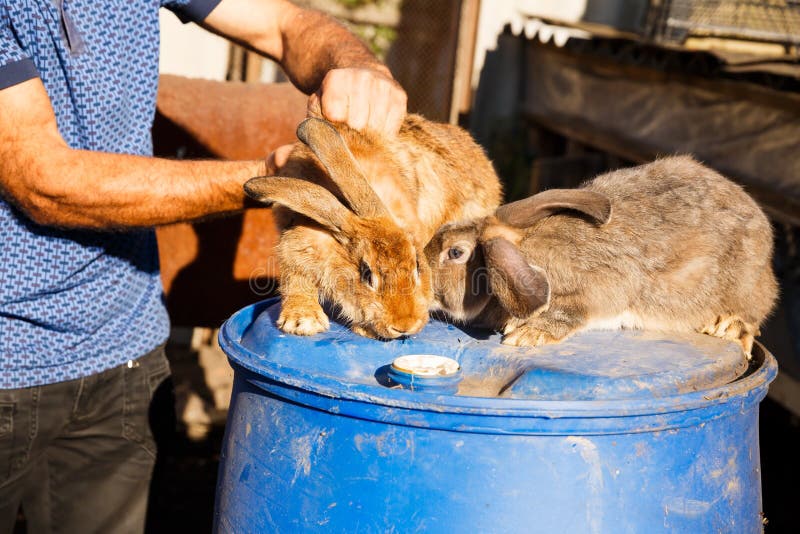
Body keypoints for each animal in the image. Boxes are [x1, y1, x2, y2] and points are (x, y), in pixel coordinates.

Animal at [244, 115, 501, 340]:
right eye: (367, 274)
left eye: (418, 266)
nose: (405, 326)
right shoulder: (297, 247)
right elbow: (296, 281)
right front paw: (303, 321)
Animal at [424, 155, 778, 356]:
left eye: (455, 252)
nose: (420, 270)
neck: (524, 247)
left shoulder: (603, 285)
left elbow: (579, 307)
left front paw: (528, 334)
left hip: (746, 287)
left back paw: (728, 328)